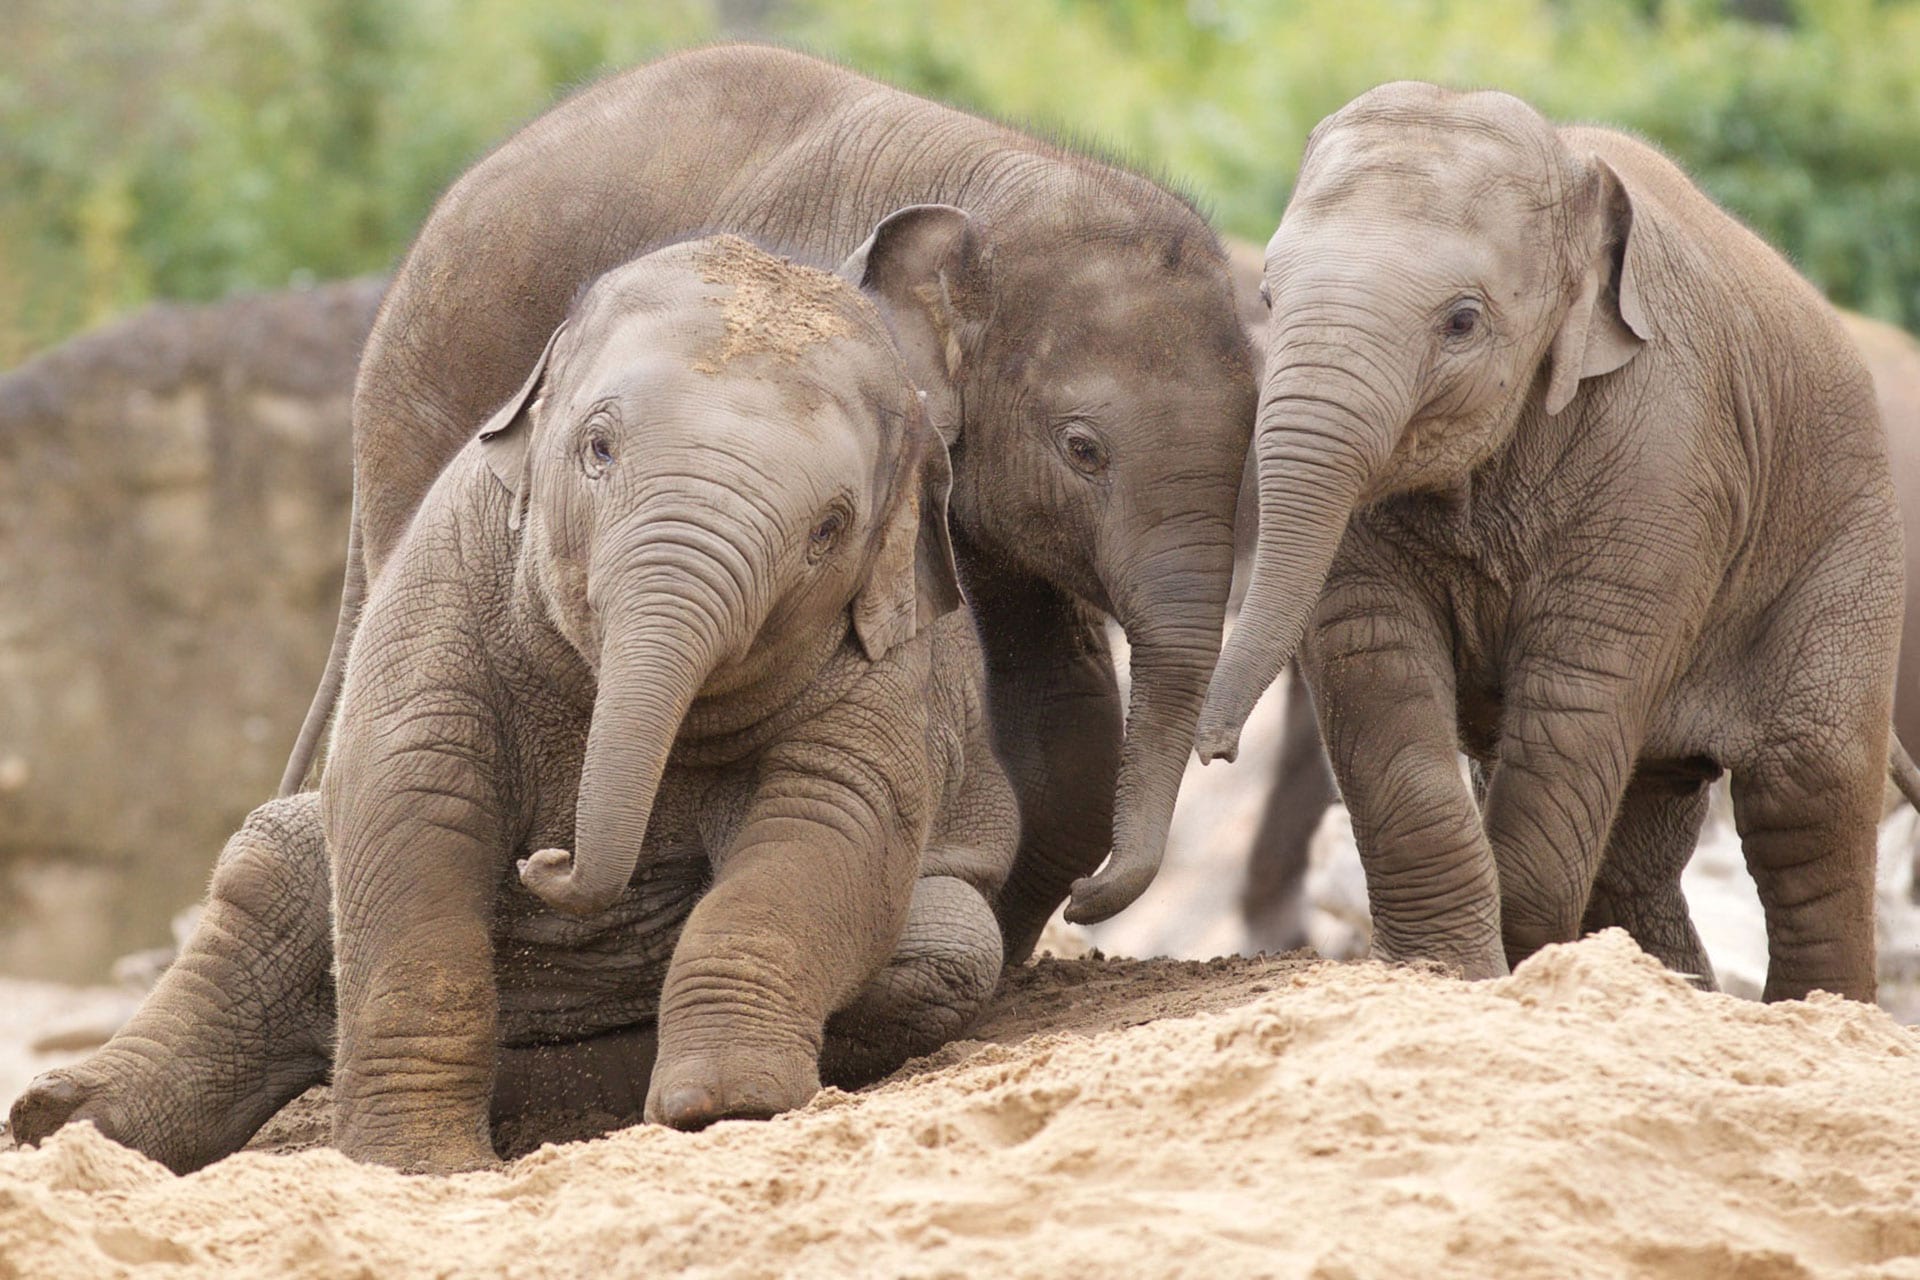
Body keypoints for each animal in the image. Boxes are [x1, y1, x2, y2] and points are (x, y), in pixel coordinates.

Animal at [11, 229, 1021, 1175]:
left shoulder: (896, 656)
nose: (550, 856)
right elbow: (410, 799)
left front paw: (724, 1107)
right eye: (597, 447)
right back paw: (62, 1123)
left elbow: (824, 825)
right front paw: (417, 1166)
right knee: (266, 869)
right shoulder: (450, 559)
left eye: (830, 529)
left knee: (949, 944)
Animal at [1197, 81, 1915, 1002]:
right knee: (1642, 827)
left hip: (1847, 546)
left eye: (1462, 322)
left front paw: (1510, 969)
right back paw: (1668, 988)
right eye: (1268, 301)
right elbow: (1372, 661)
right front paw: (1452, 973)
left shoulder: (1664, 462)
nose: (1215, 750)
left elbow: (1575, 698)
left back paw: (1817, 1009)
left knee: (1805, 803)